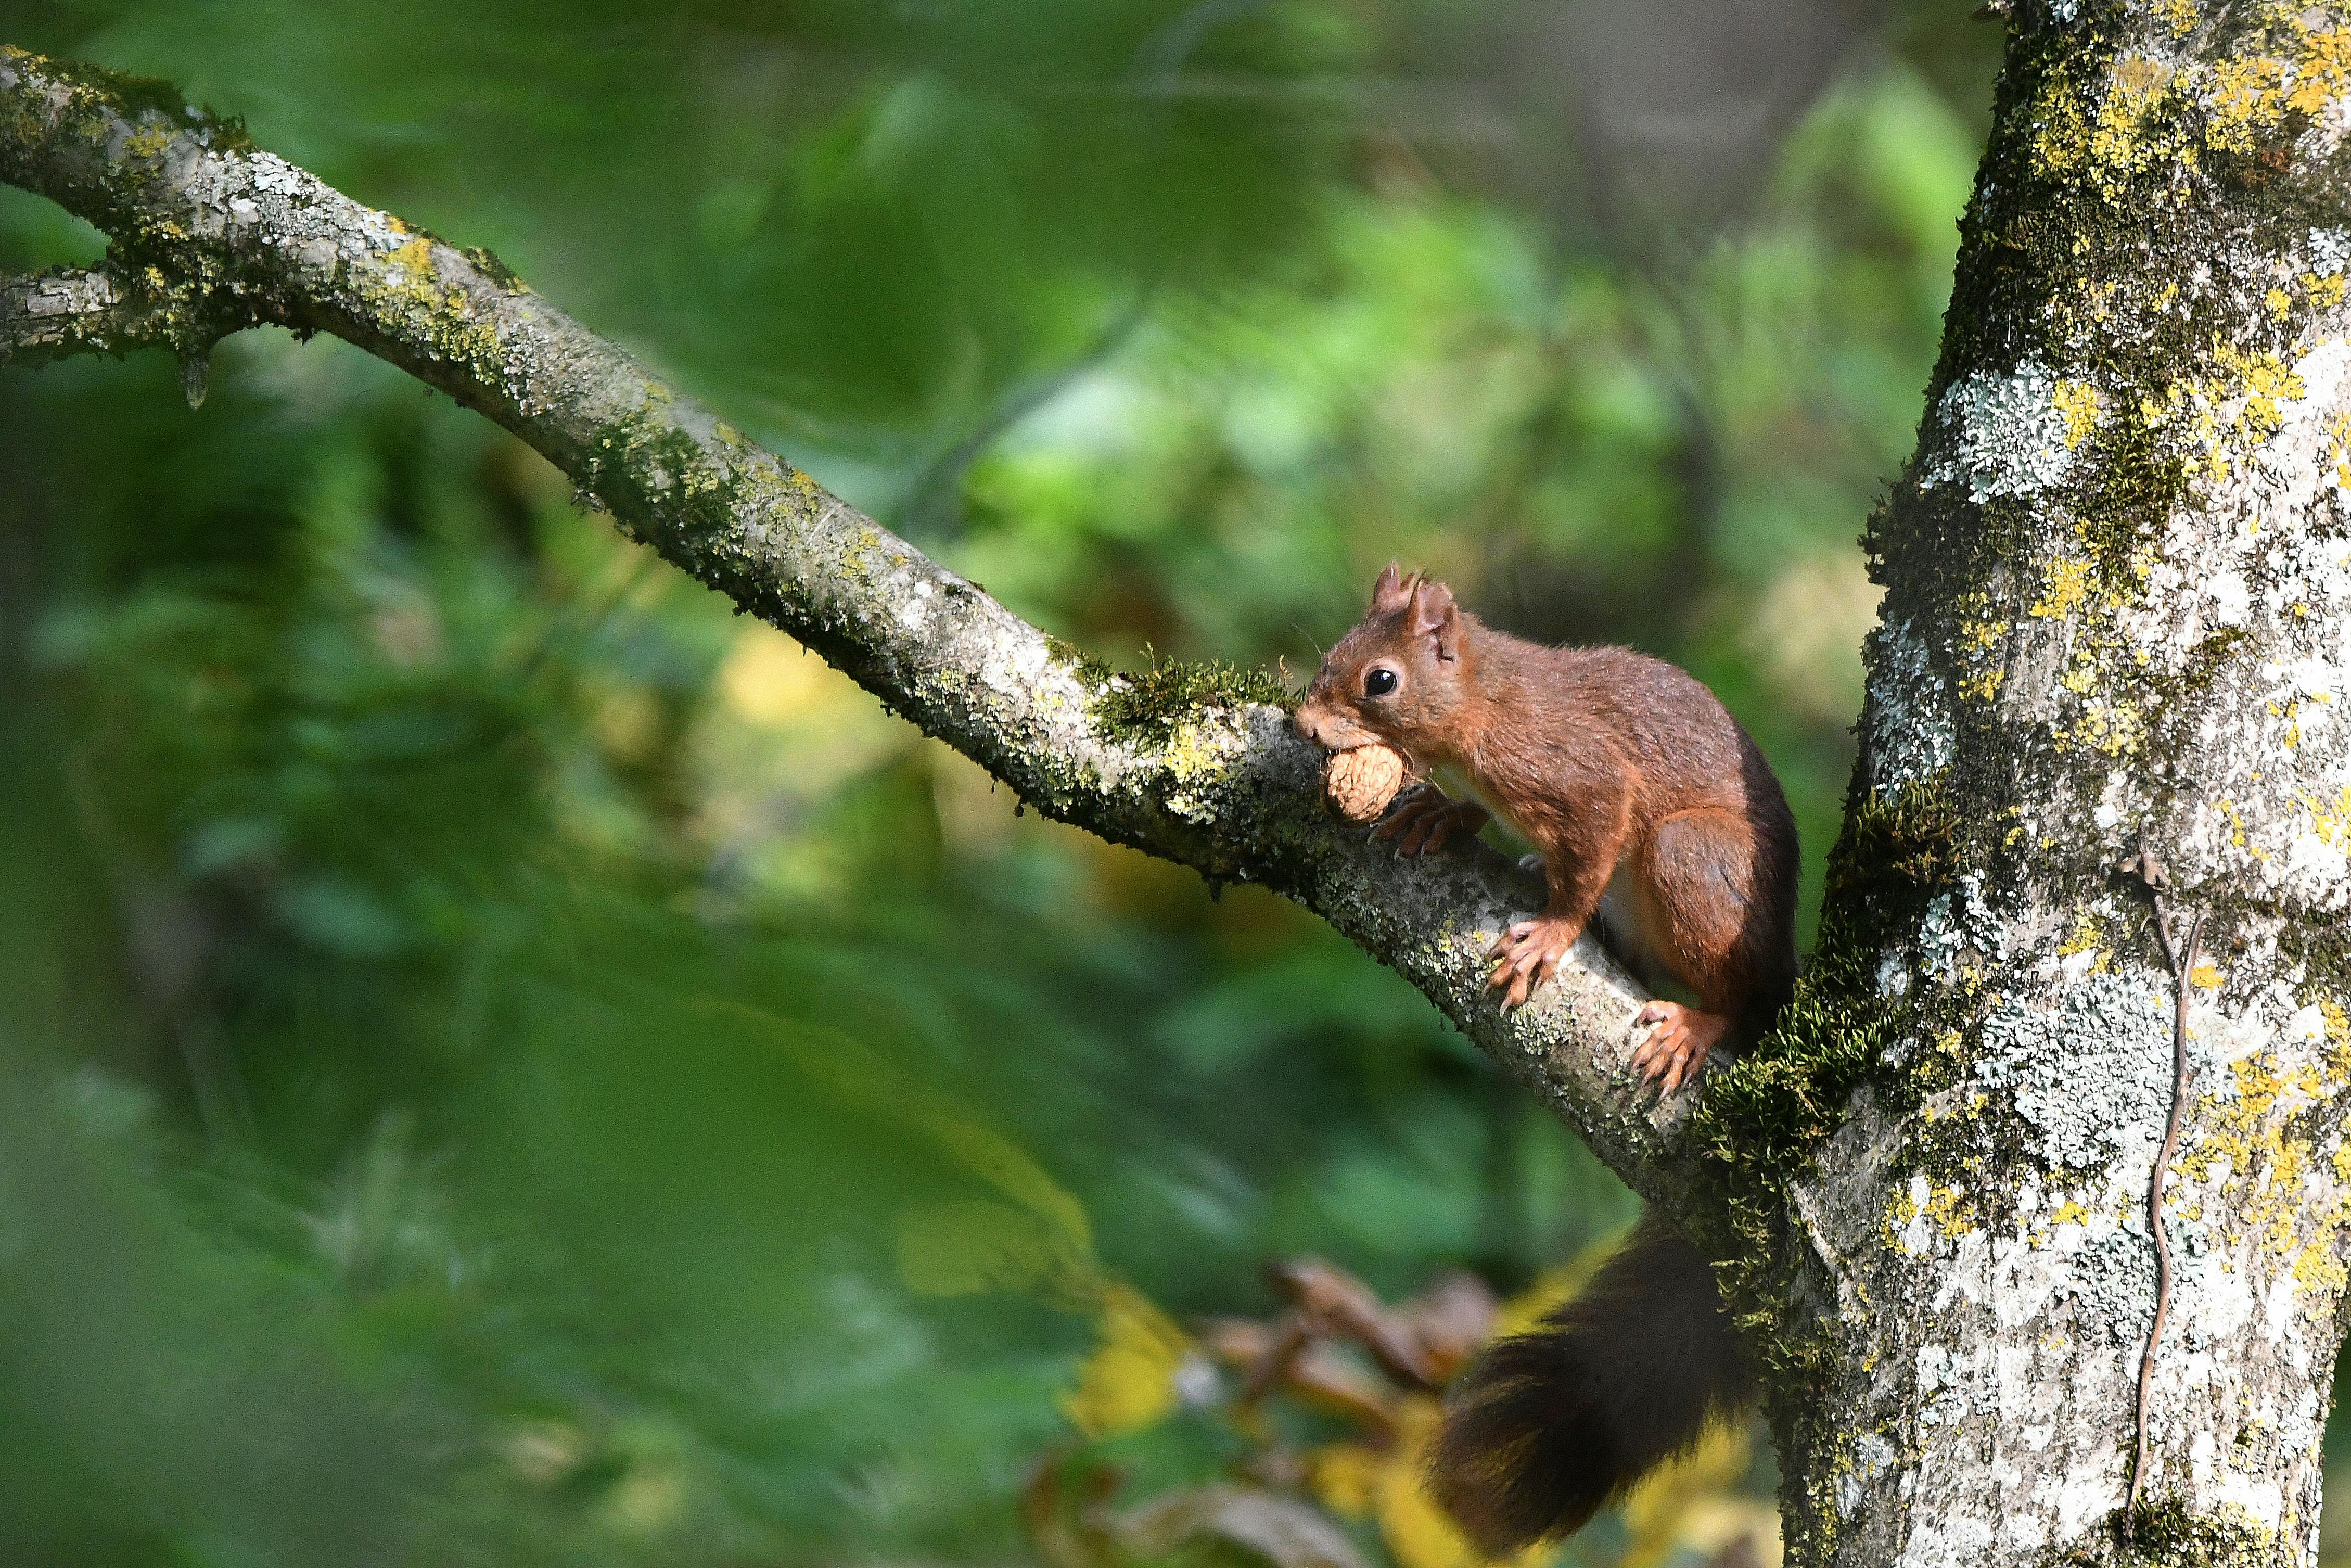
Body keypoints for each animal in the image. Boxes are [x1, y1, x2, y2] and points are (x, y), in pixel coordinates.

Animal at [1292, 563, 1798, 1552]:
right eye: (1330, 652)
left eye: (1380, 681)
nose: (1300, 721)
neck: (1485, 702)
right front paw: (1436, 813)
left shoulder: (1584, 776)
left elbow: (1588, 855)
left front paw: (1551, 934)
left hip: (1692, 862)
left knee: (1729, 989)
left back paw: (1697, 1025)